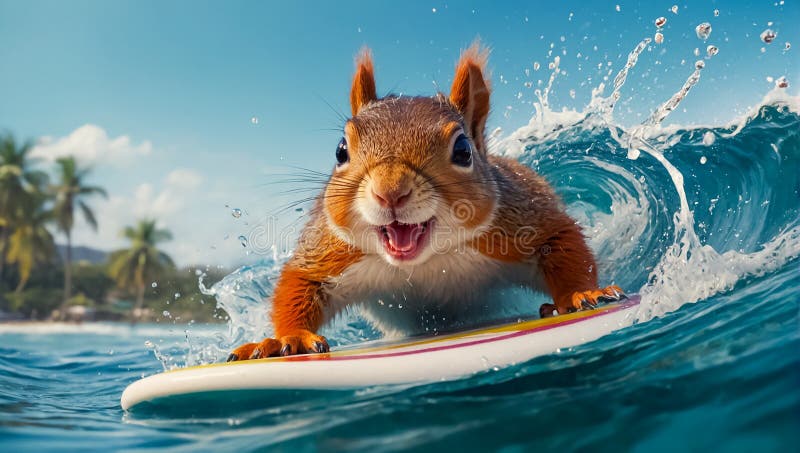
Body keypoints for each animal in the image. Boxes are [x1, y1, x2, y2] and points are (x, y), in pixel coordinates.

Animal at [227, 43, 625, 361]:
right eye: (340, 151)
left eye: (463, 150)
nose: (390, 191)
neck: (424, 262)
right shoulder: (335, 250)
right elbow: (300, 281)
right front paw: (286, 339)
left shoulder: (516, 223)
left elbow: (563, 241)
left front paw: (580, 294)